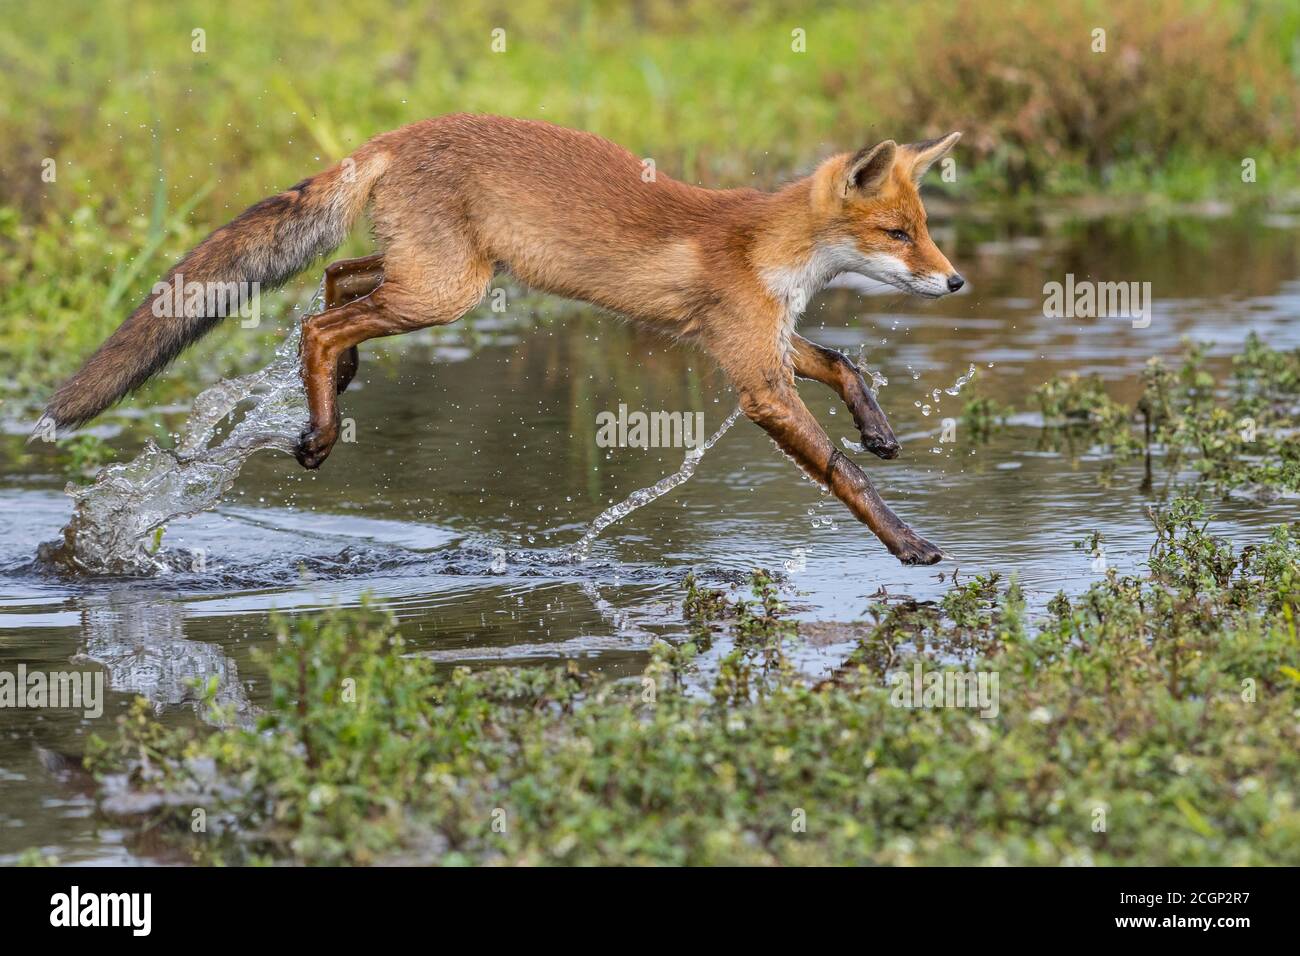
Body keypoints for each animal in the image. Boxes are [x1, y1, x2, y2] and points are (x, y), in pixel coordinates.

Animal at [40, 114, 965, 565]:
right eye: (896, 235)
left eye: (924, 230)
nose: (956, 283)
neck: (765, 249)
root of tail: (393, 135)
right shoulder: (755, 376)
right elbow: (843, 476)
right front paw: (908, 544)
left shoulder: (759, 340)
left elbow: (843, 362)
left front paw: (879, 430)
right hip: (449, 291)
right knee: (315, 319)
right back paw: (324, 424)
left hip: (434, 276)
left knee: (336, 280)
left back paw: (342, 383)